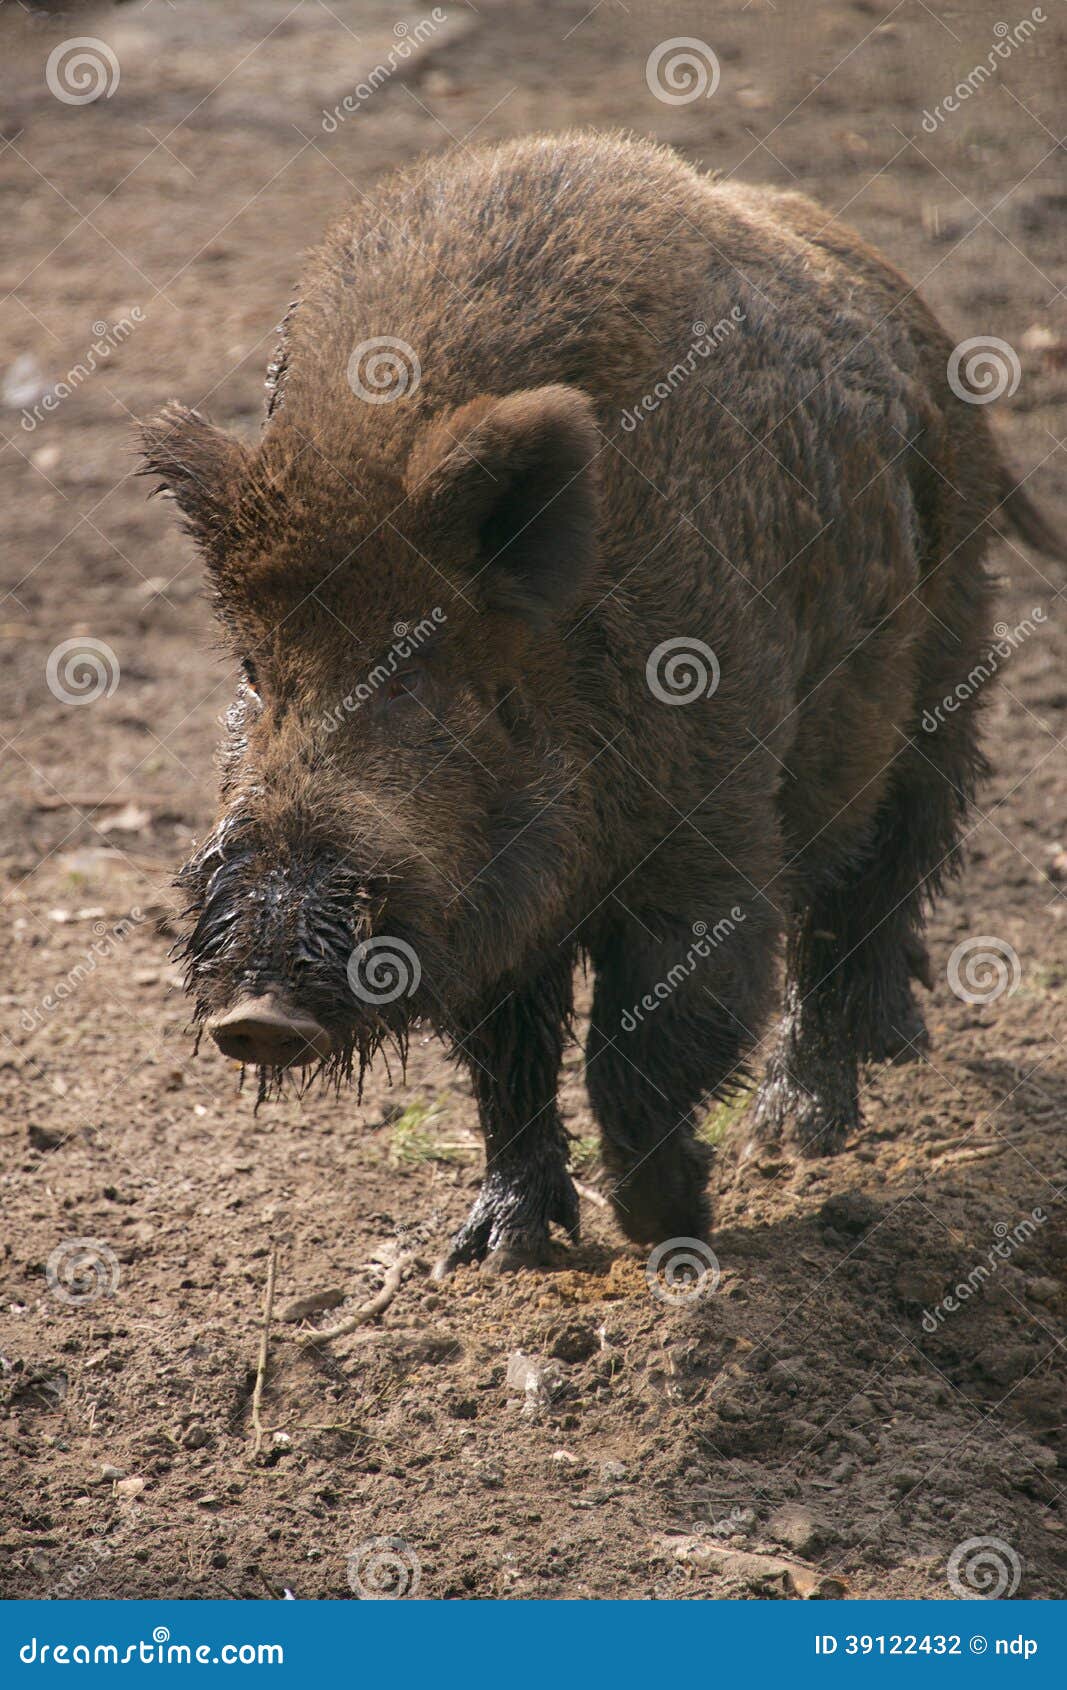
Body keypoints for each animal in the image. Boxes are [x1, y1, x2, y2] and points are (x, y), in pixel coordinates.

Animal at [141, 132, 1060, 1275]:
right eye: (258, 671)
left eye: (418, 669)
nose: (258, 1013)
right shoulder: (486, 905)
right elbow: (507, 1058)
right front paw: (493, 1254)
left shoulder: (708, 834)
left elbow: (648, 1038)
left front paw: (671, 1226)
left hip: (940, 677)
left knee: (870, 885)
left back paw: (807, 1125)